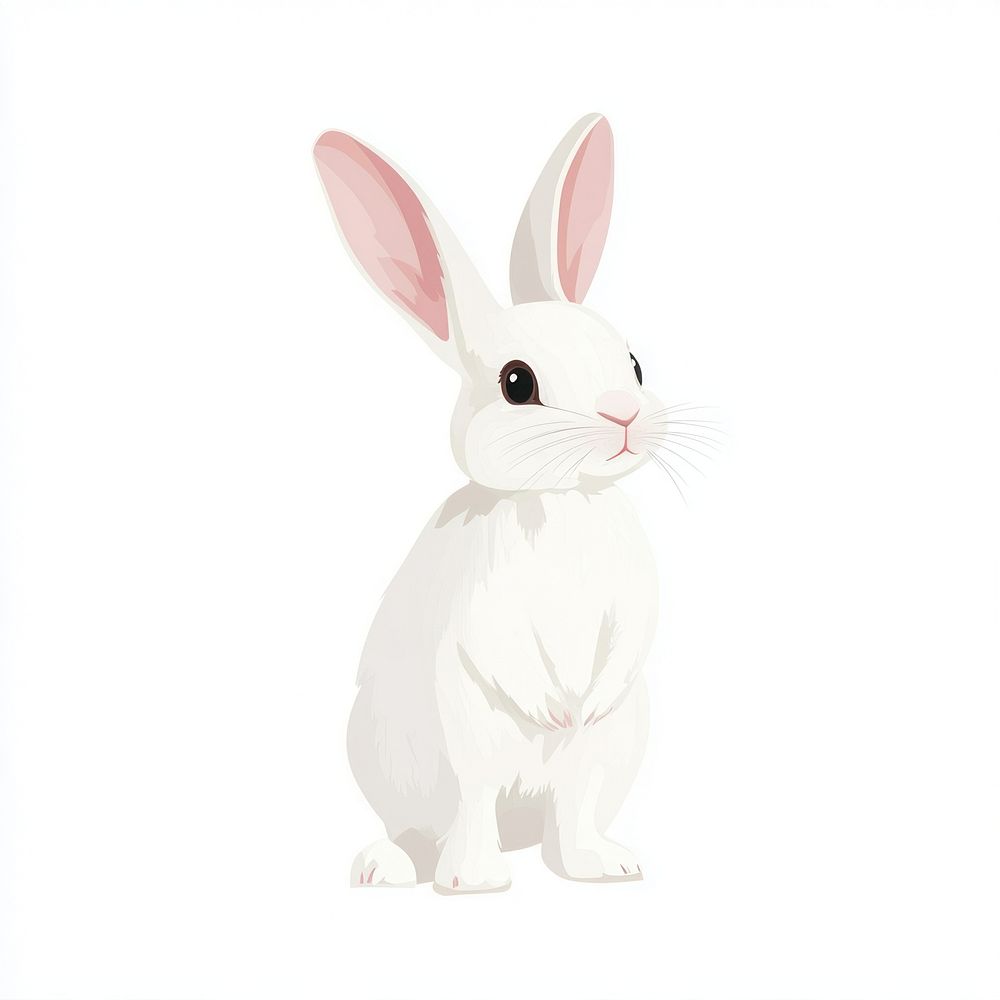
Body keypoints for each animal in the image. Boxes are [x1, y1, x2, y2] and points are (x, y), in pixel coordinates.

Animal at [314, 114, 670, 893]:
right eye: (516, 382)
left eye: (634, 364)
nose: (625, 414)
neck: (560, 499)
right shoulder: (480, 609)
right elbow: (508, 658)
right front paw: (551, 707)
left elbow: (623, 651)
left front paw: (579, 704)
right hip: (455, 751)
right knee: (451, 821)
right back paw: (448, 875)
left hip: (607, 754)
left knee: (570, 818)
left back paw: (603, 865)